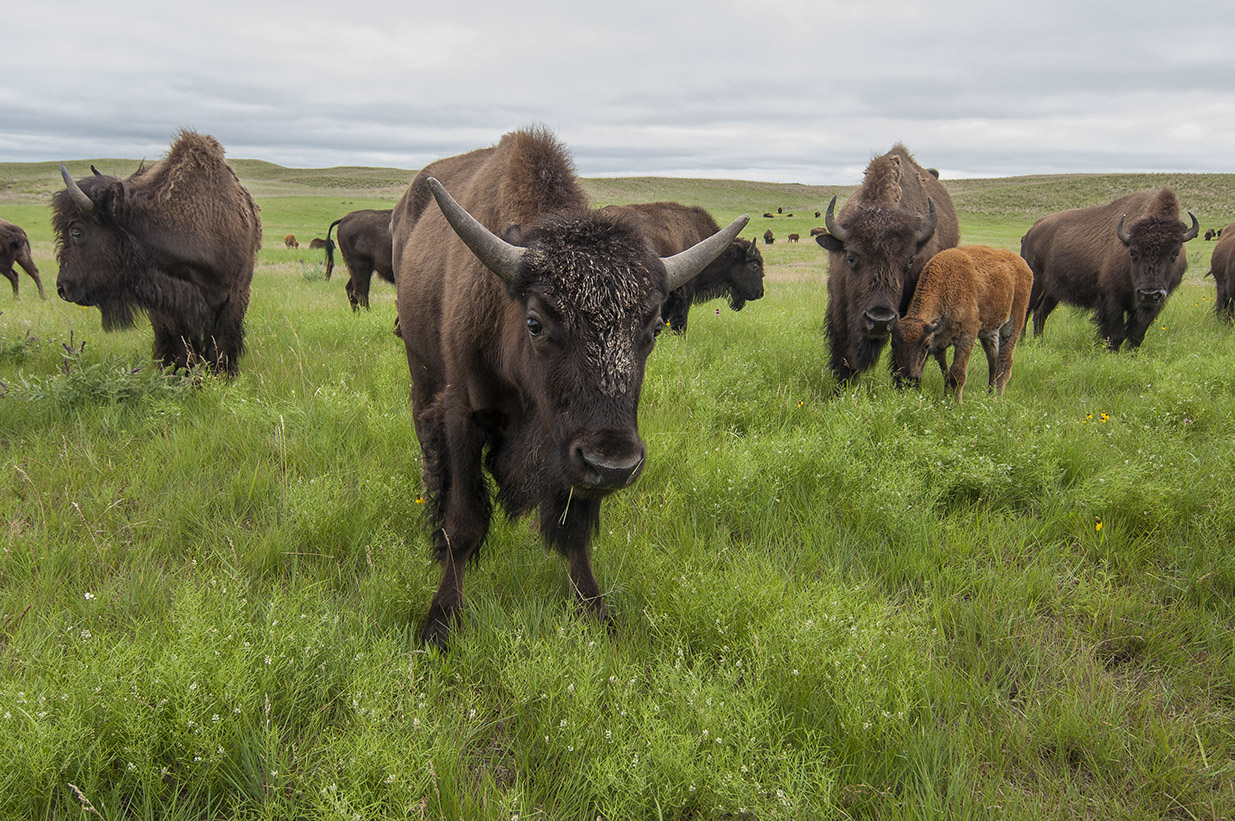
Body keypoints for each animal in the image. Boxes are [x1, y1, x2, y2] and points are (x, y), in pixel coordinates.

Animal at [53, 130, 261, 375]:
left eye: (76, 231)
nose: (62, 288)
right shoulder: (169, 306)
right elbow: (182, 348)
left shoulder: (235, 295)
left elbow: (220, 346)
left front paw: (223, 376)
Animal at [390, 127, 747, 648]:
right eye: (536, 323)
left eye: (654, 327)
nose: (615, 464)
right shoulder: (464, 414)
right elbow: (464, 522)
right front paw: (439, 625)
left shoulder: (571, 449)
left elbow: (575, 527)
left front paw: (596, 615)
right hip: (421, 372)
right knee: (427, 446)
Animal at [1020, 188, 1198, 350]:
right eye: (1133, 253)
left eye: (1174, 254)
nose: (1149, 293)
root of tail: (1031, 231)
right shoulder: (1112, 299)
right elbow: (1116, 333)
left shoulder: (1154, 304)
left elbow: (1137, 334)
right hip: (1035, 282)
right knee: (1027, 310)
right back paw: (1022, 343)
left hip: (1052, 291)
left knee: (1040, 314)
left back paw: (1040, 344)